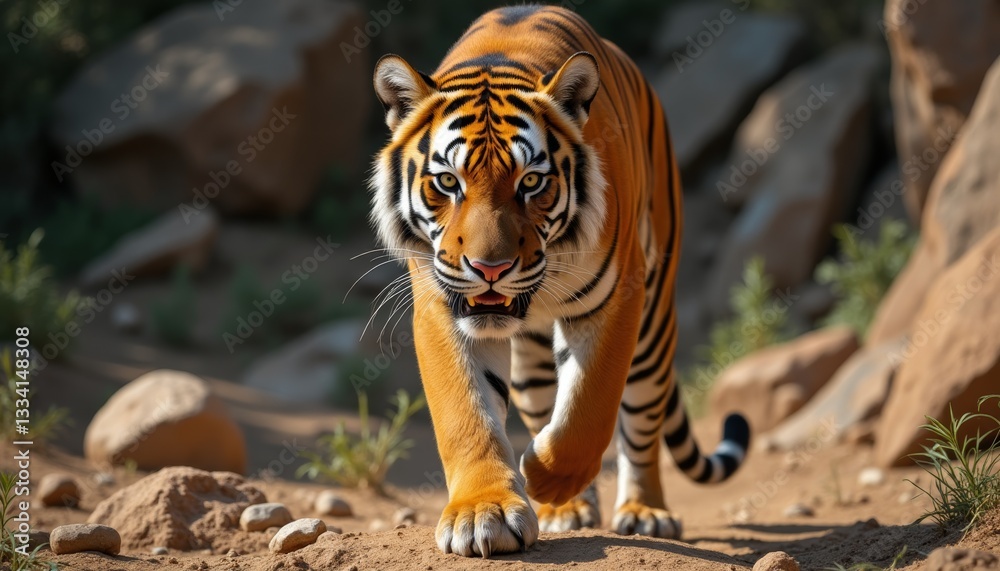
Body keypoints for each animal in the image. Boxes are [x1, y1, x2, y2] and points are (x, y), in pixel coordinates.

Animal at [369, 4, 750, 557]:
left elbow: (589, 407)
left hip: (655, 320)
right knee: (545, 400)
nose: (490, 269)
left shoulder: (618, 297)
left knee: (641, 421)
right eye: (447, 182)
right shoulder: (444, 306)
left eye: (531, 182)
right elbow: (467, 414)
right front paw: (483, 512)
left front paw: (546, 477)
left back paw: (644, 511)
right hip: (531, 363)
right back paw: (567, 511)